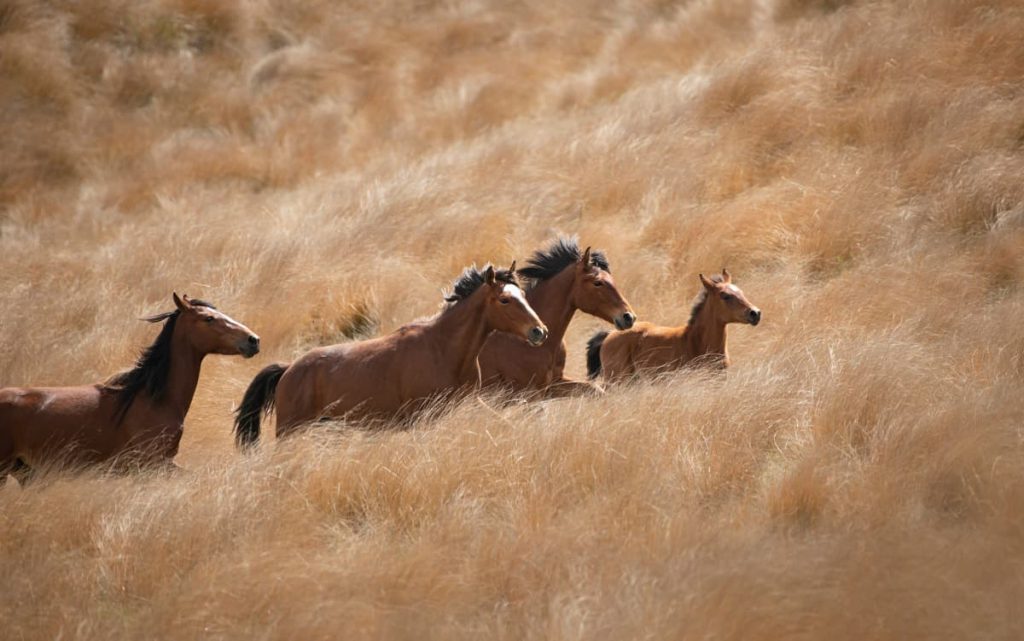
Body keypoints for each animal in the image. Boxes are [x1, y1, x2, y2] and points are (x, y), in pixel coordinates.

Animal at [234, 264, 548, 446]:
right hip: (291, 431)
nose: (539, 331)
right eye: (504, 300)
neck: (443, 349)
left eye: (521, 295)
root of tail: (288, 370)